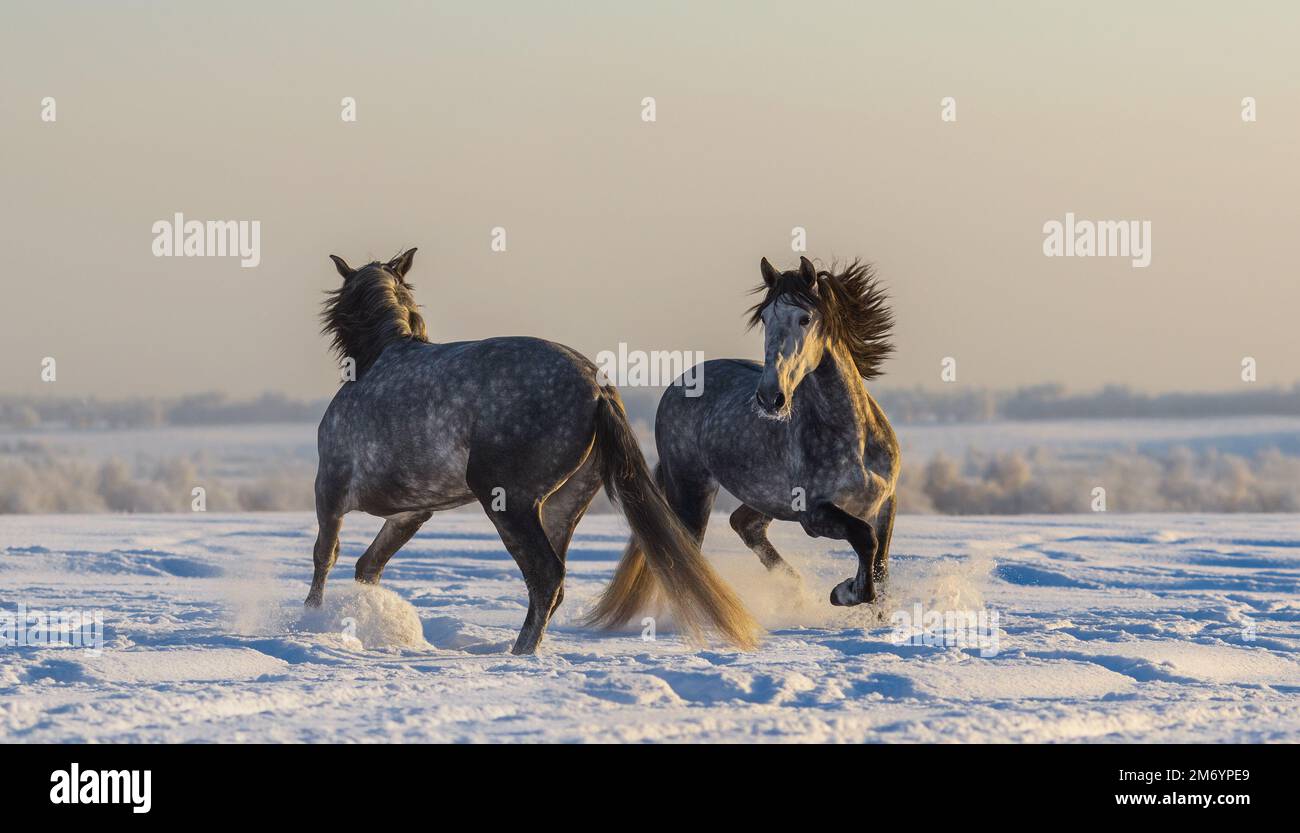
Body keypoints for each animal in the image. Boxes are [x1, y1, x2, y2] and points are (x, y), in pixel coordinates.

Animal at [307, 248, 760, 654]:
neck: (375, 362)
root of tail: (596, 387)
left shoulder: (330, 490)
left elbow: (325, 555)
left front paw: (309, 618)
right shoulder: (410, 513)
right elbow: (369, 566)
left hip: (510, 502)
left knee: (545, 575)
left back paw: (521, 650)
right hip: (561, 506)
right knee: (553, 582)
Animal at [590, 256, 899, 625]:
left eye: (805, 318)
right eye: (764, 318)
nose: (770, 398)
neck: (854, 438)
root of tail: (680, 383)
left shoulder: (884, 504)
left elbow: (879, 568)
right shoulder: (812, 514)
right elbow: (865, 543)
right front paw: (842, 592)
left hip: (764, 498)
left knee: (744, 525)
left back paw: (793, 589)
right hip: (692, 491)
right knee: (687, 553)